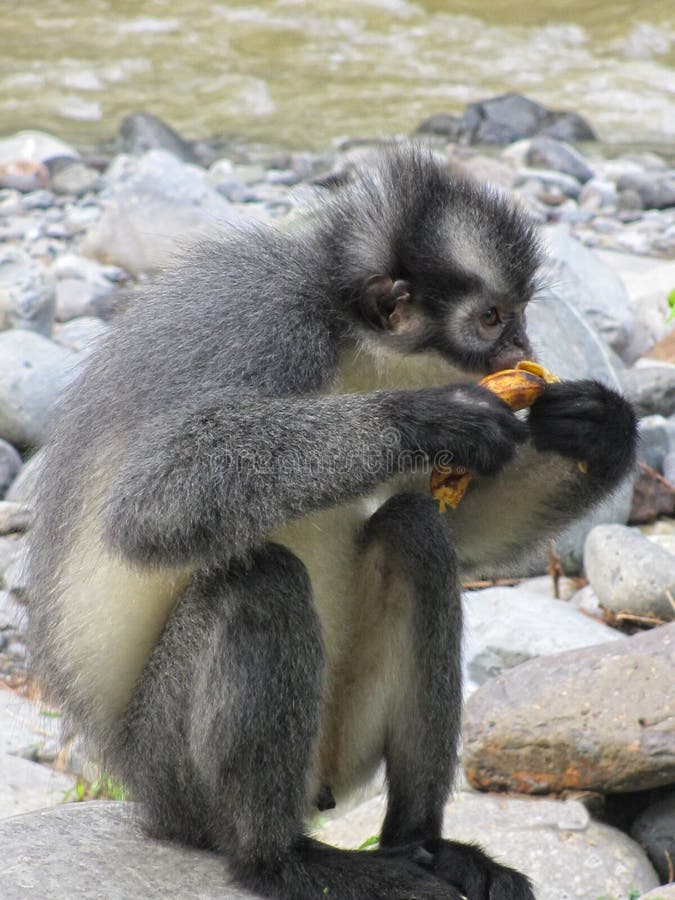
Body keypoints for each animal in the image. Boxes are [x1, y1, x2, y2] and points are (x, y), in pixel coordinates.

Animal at [26, 146, 637, 900]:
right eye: (493, 318)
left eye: (518, 317)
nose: (521, 343)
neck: (347, 333)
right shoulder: (268, 329)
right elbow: (152, 501)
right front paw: (421, 421)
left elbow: (457, 529)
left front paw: (599, 429)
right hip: (170, 773)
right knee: (259, 579)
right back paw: (276, 860)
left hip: (341, 743)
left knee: (414, 532)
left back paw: (420, 843)